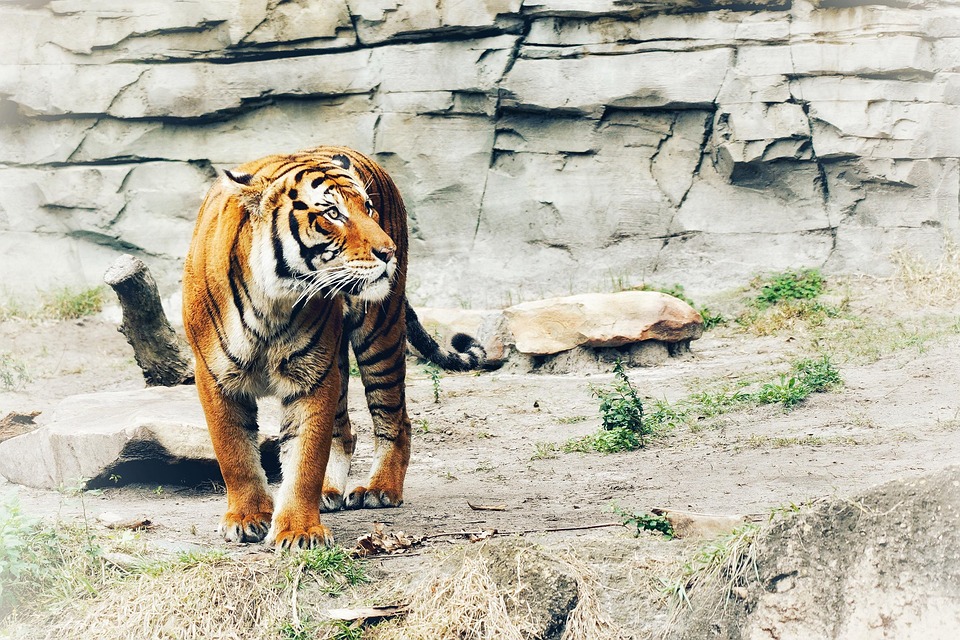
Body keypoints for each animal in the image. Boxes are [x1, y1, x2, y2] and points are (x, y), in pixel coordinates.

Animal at [182, 146, 485, 550]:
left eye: (367, 208)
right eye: (332, 214)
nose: (388, 251)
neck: (271, 300)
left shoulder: (312, 376)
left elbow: (306, 455)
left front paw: (298, 531)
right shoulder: (216, 377)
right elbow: (234, 452)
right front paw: (247, 519)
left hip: (378, 332)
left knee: (395, 418)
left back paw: (380, 489)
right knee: (345, 430)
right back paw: (329, 491)